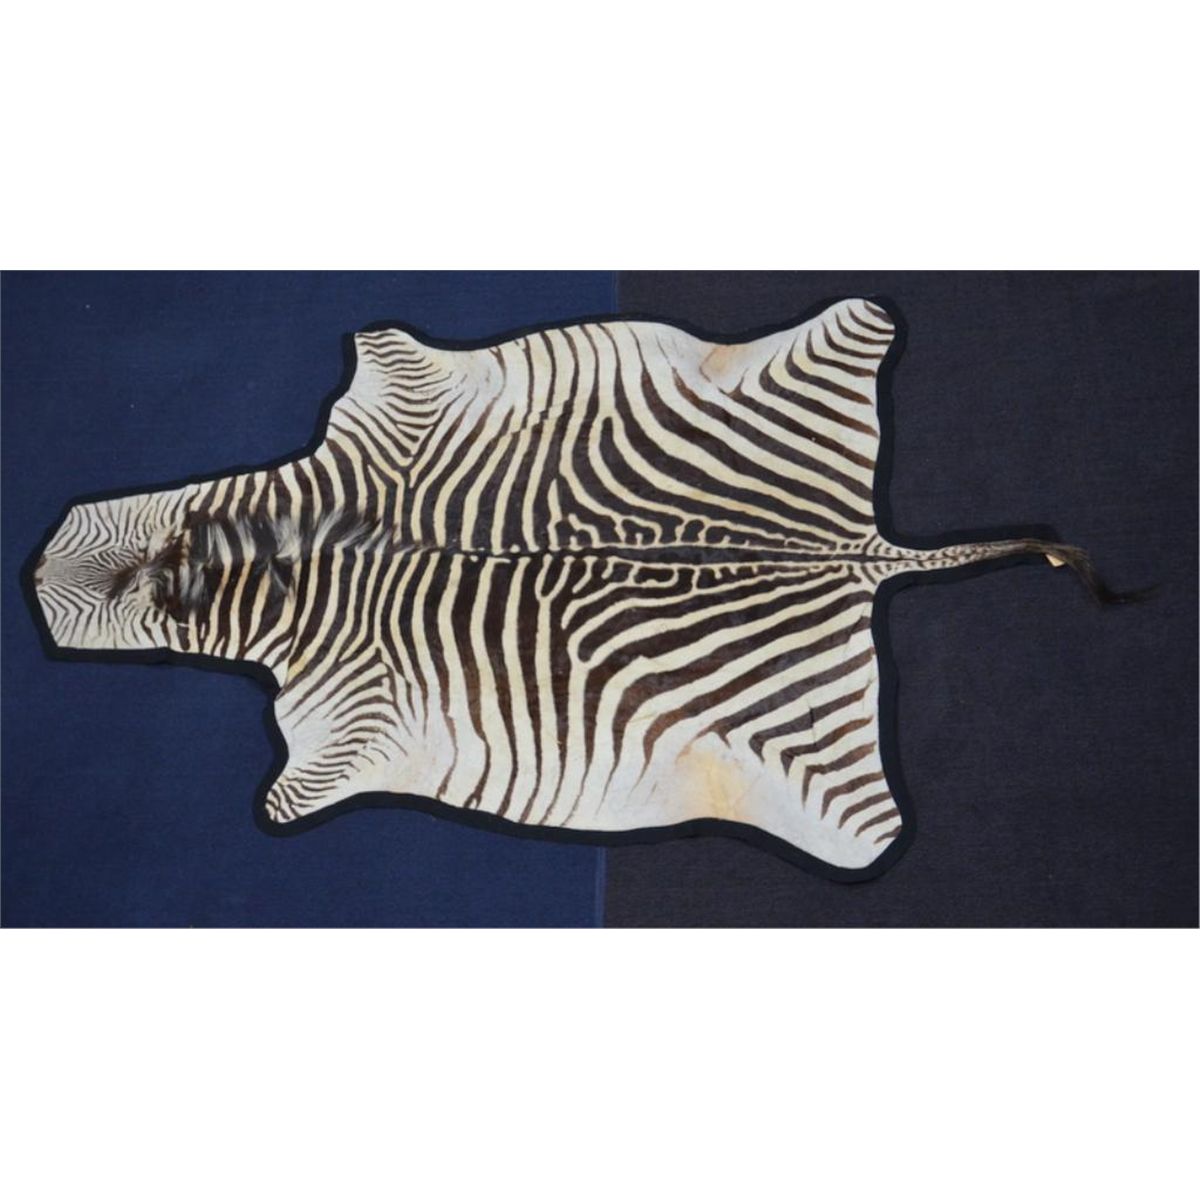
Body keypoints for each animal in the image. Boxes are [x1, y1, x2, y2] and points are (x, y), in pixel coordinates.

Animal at [29, 298, 1125, 875]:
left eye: (159, 595)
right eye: (166, 560)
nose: (35, 569)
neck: (305, 559)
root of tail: (858, 549)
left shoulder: (345, 727)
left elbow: (297, 790)